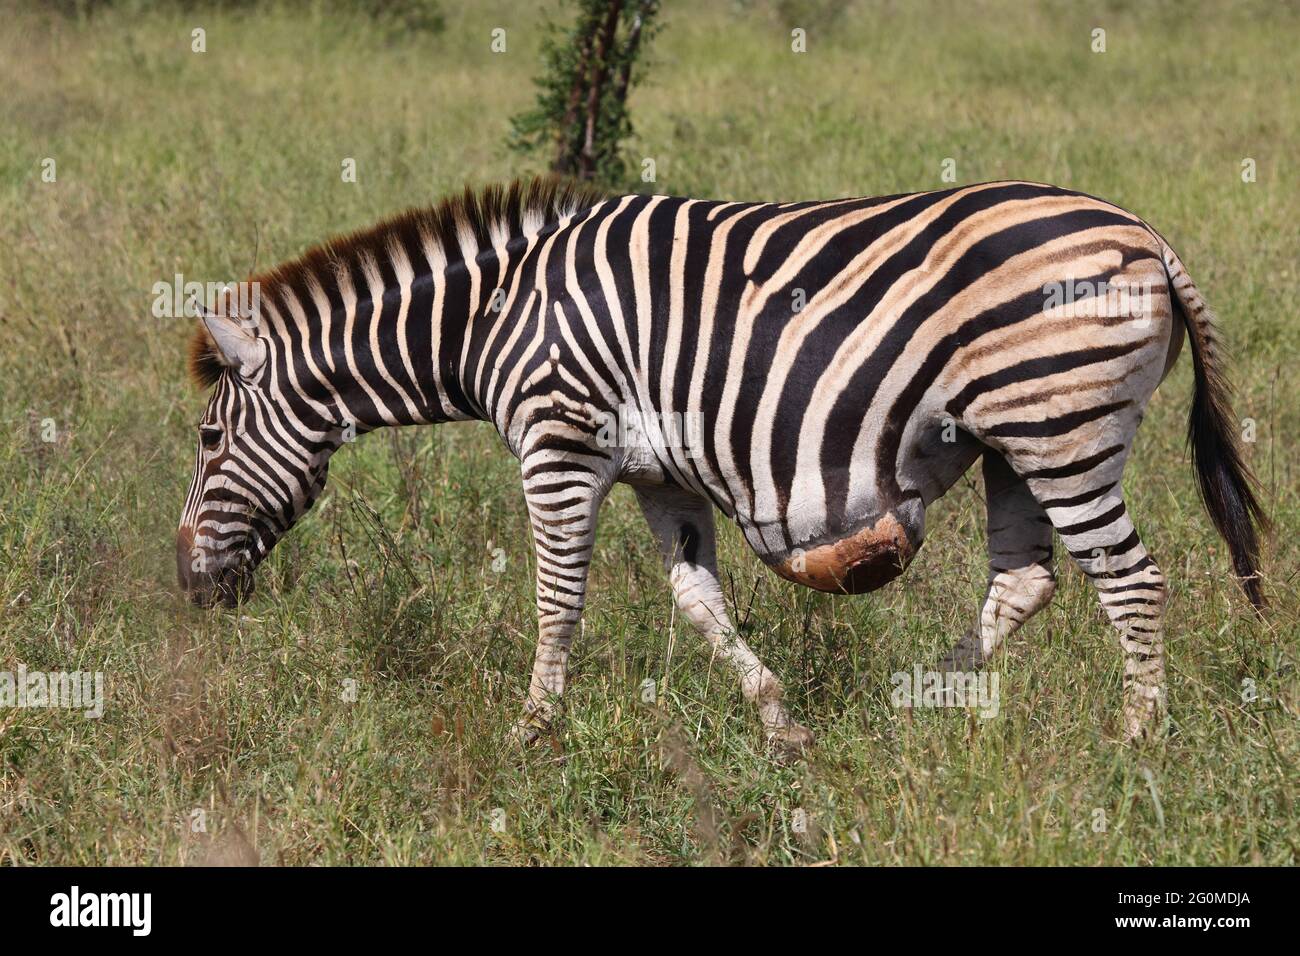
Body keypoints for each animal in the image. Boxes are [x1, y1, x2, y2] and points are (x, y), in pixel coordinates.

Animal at [177, 177, 1267, 755]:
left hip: (1061, 426)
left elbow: (556, 597)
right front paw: (781, 726)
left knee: (1131, 581)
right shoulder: (661, 475)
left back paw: (1137, 737)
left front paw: (532, 731)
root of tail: (1145, 234)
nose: (186, 584)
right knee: (1024, 579)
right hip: (1012, 440)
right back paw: (914, 710)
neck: (498, 315)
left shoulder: (558, 440)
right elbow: (698, 602)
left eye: (205, 439)